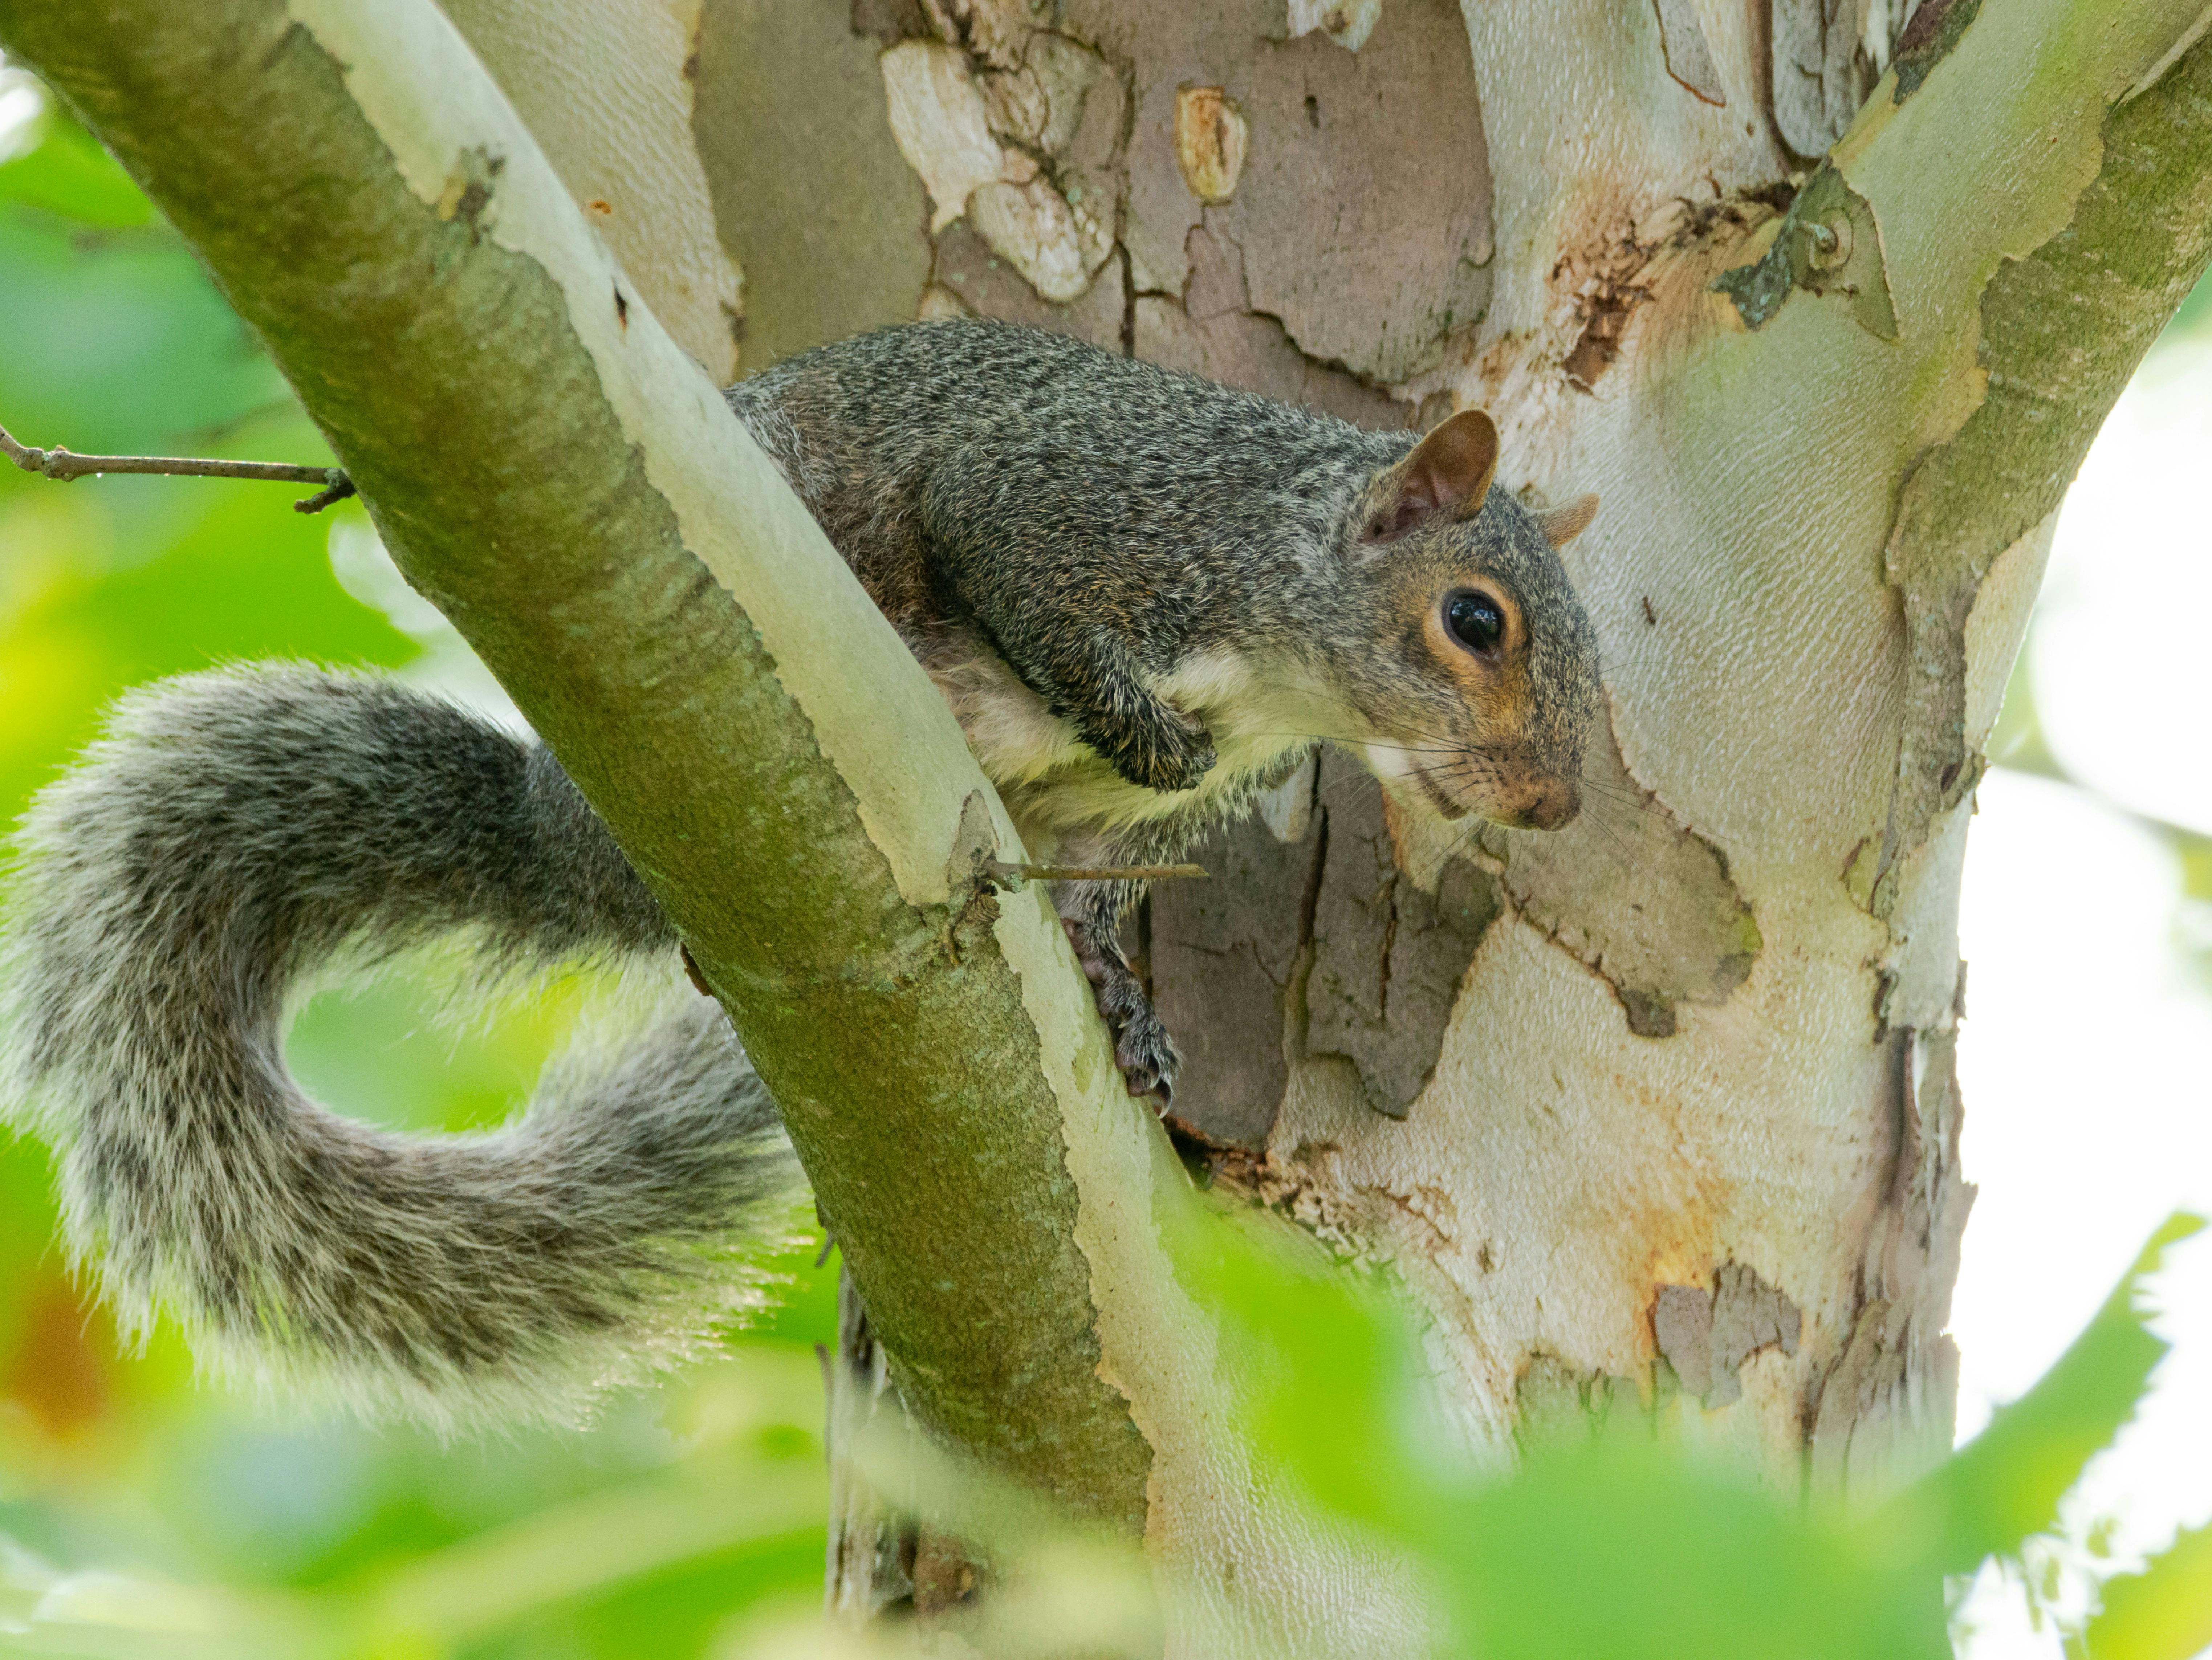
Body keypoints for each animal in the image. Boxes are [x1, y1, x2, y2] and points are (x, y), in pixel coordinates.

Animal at [0, 318, 1600, 1424]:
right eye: (1474, 620)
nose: (1555, 802)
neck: (1278, 651)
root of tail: (550, 828)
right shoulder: (1063, 506)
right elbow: (1027, 601)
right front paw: (1142, 729)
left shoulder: (1112, 826)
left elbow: (1088, 887)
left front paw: (1128, 1012)